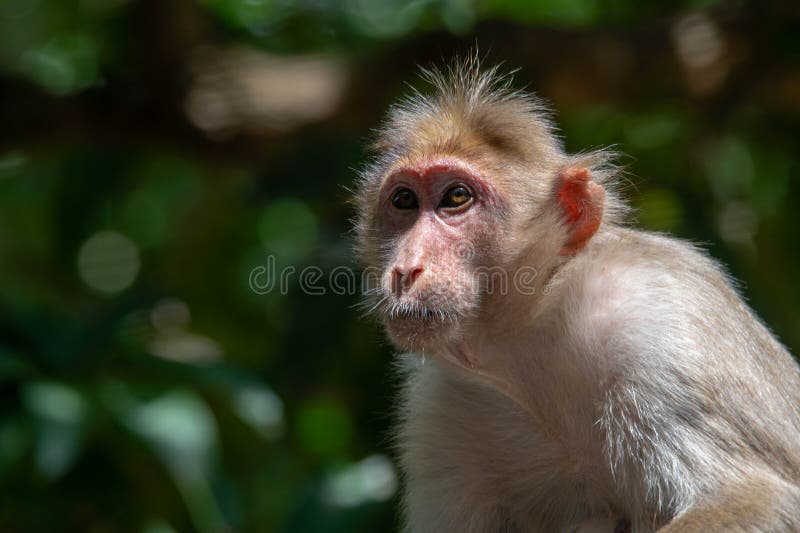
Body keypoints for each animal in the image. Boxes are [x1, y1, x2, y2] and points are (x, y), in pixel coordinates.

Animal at [353, 57, 800, 532]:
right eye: (403, 200)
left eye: (456, 197)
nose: (406, 269)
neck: (528, 341)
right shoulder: (436, 410)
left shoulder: (660, 328)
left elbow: (758, 497)